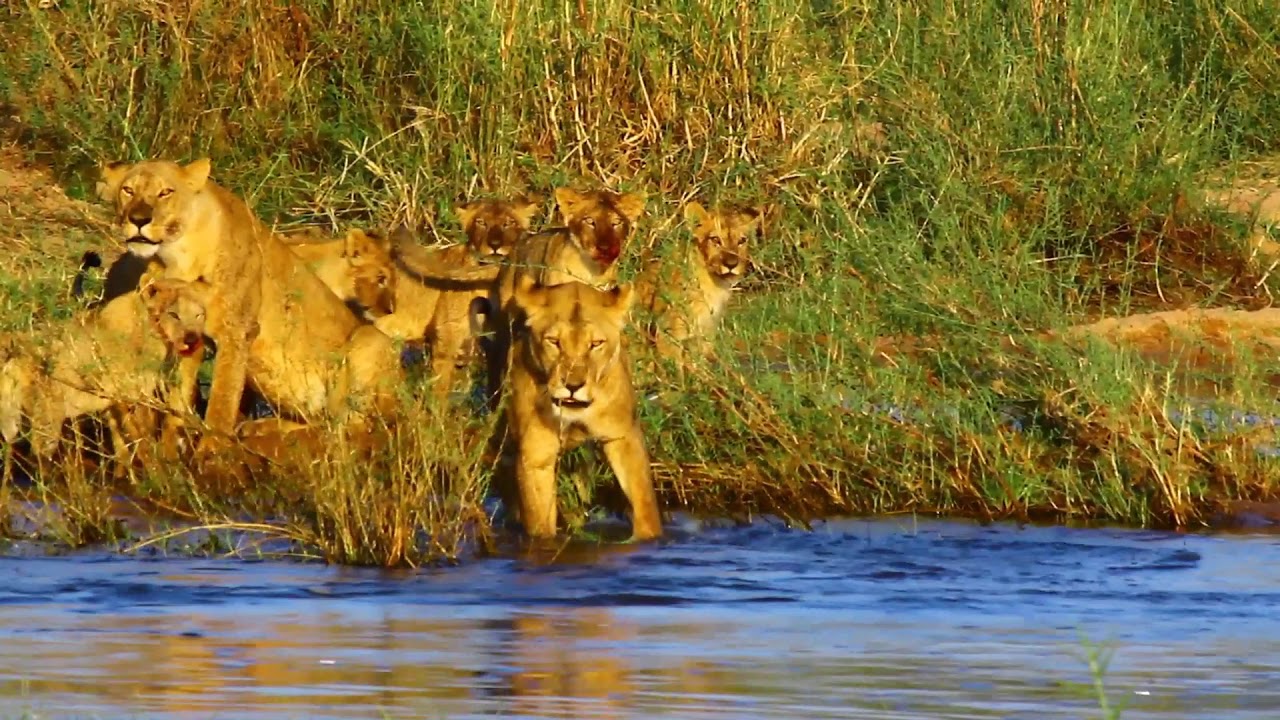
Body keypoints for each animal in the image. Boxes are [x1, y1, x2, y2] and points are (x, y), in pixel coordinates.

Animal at [97, 158, 404, 457]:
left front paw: (211, 451)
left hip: (371, 341)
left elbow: (222, 399)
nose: (138, 219)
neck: (175, 258)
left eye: (165, 192)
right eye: (128, 190)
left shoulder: (238, 330)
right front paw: (172, 449)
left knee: (351, 431)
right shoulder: (186, 332)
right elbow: (180, 394)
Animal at [493, 276, 662, 541]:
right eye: (554, 342)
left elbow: (643, 499)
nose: (572, 386)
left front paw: (649, 538)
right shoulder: (535, 454)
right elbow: (539, 520)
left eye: (595, 344)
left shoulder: (623, 436)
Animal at [636, 201, 763, 361]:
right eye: (715, 240)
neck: (715, 285)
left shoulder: (706, 334)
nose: (731, 264)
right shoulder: (667, 333)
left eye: (742, 241)